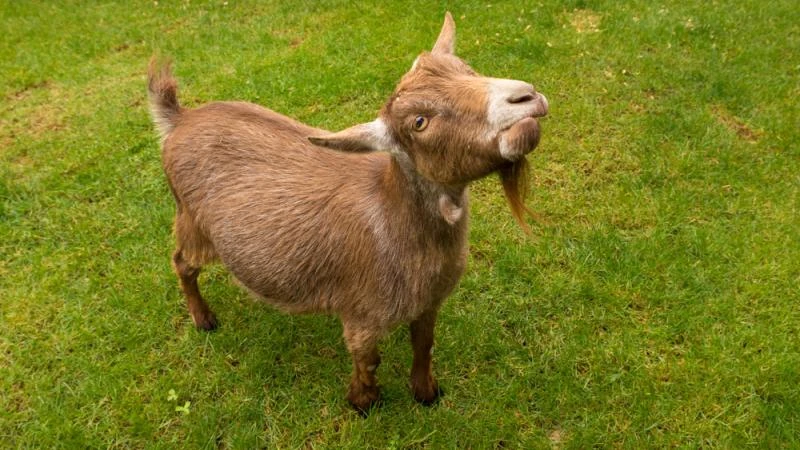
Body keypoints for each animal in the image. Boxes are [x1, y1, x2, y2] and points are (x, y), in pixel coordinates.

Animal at [147, 12, 548, 412]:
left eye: (468, 69)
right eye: (419, 122)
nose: (526, 98)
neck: (391, 219)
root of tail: (179, 119)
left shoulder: (428, 302)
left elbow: (424, 344)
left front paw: (426, 393)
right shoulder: (361, 316)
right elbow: (367, 359)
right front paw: (364, 402)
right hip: (192, 223)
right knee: (182, 262)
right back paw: (204, 319)